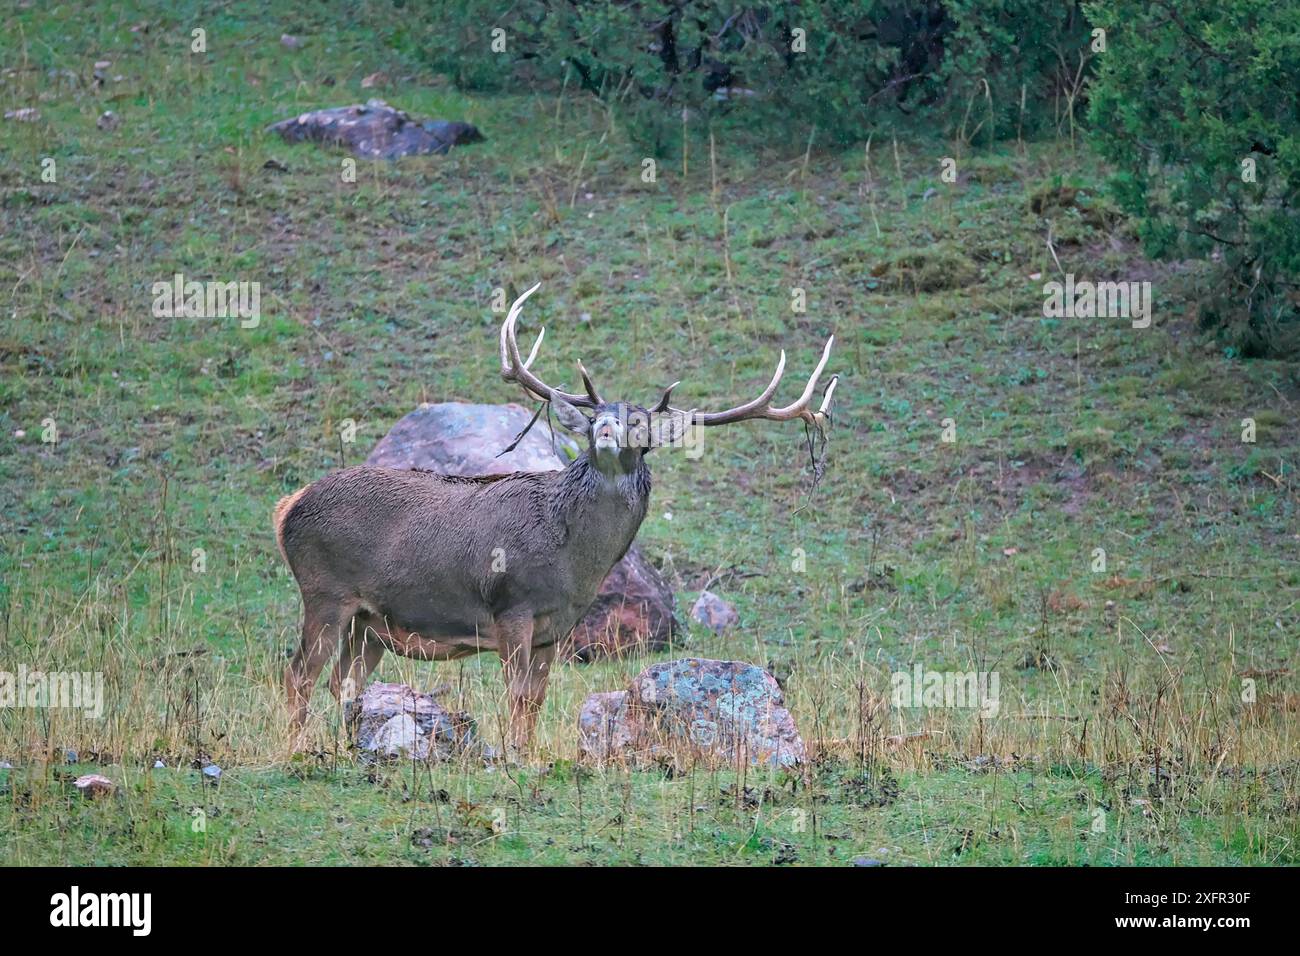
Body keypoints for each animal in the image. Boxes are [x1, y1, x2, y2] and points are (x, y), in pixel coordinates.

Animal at [274, 284, 837, 750]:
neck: (572, 564)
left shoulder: (558, 627)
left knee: (342, 680)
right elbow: (516, 696)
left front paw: (525, 755)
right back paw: (294, 746)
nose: (606, 429)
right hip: (325, 591)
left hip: (368, 621)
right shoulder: (511, 606)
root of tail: (287, 509)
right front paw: (510, 755)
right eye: (594, 417)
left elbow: (535, 700)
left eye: (639, 422)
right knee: (299, 674)